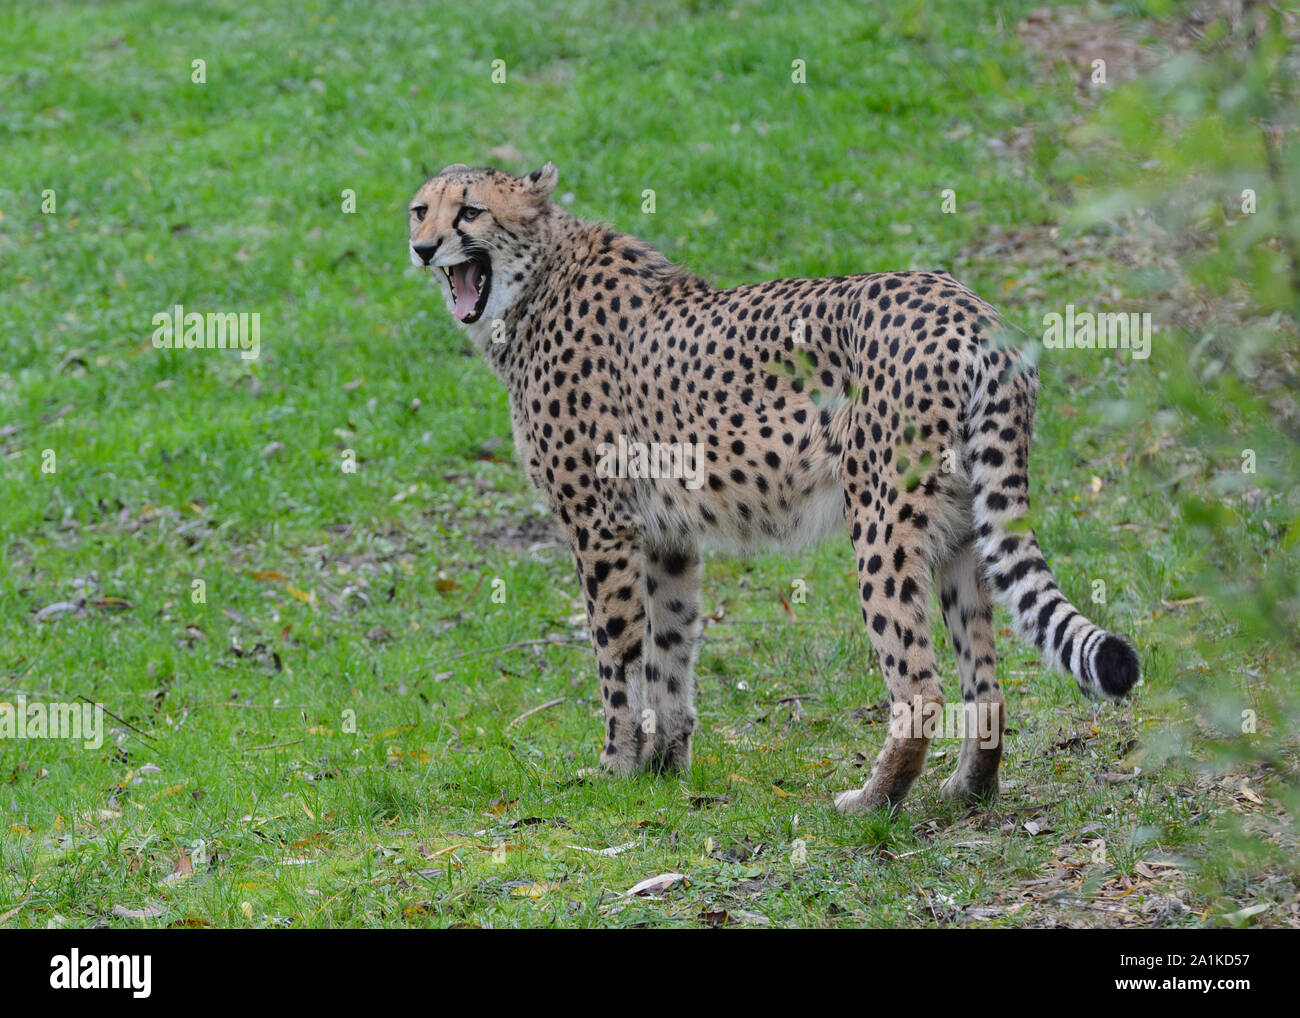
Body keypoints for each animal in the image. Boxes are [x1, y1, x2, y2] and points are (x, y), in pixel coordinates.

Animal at [406, 161, 1141, 812]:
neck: (533, 285)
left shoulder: (600, 526)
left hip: (881, 519)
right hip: (964, 526)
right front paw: (664, 768)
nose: (423, 247)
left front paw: (614, 767)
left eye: (469, 211)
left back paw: (869, 803)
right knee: (985, 686)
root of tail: (969, 307)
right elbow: (671, 650)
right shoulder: (668, 535)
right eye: (421, 210)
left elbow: (617, 658)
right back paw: (968, 790)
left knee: (920, 689)